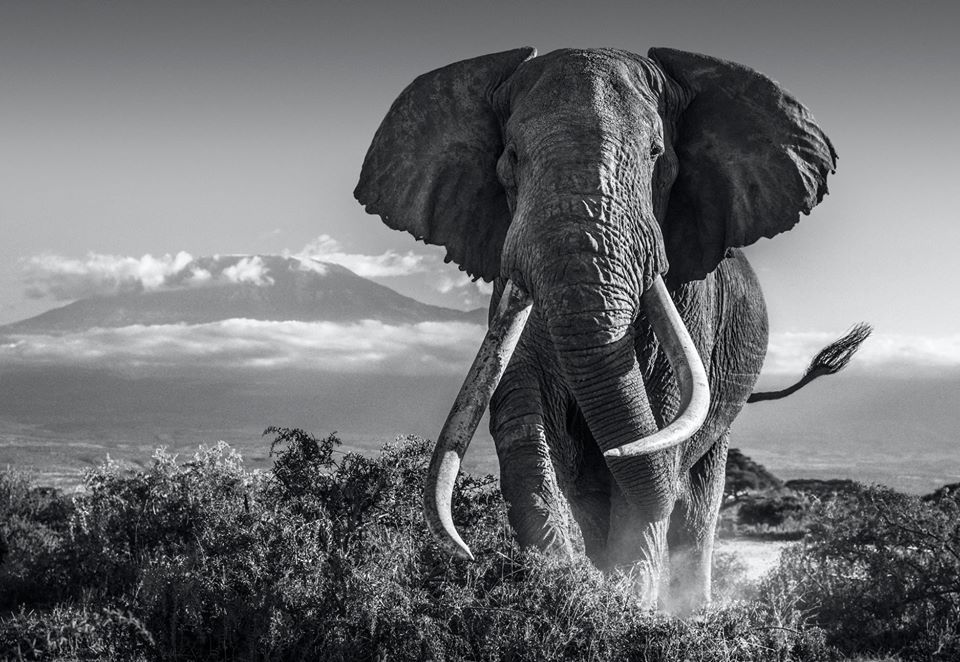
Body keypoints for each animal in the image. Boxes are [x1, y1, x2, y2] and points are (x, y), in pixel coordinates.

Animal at [354, 47, 865, 611]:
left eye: (656, 154)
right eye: (511, 157)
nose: (464, 553)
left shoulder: (693, 307)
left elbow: (656, 427)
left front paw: (627, 606)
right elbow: (525, 427)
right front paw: (567, 591)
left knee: (696, 501)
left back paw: (687, 610)